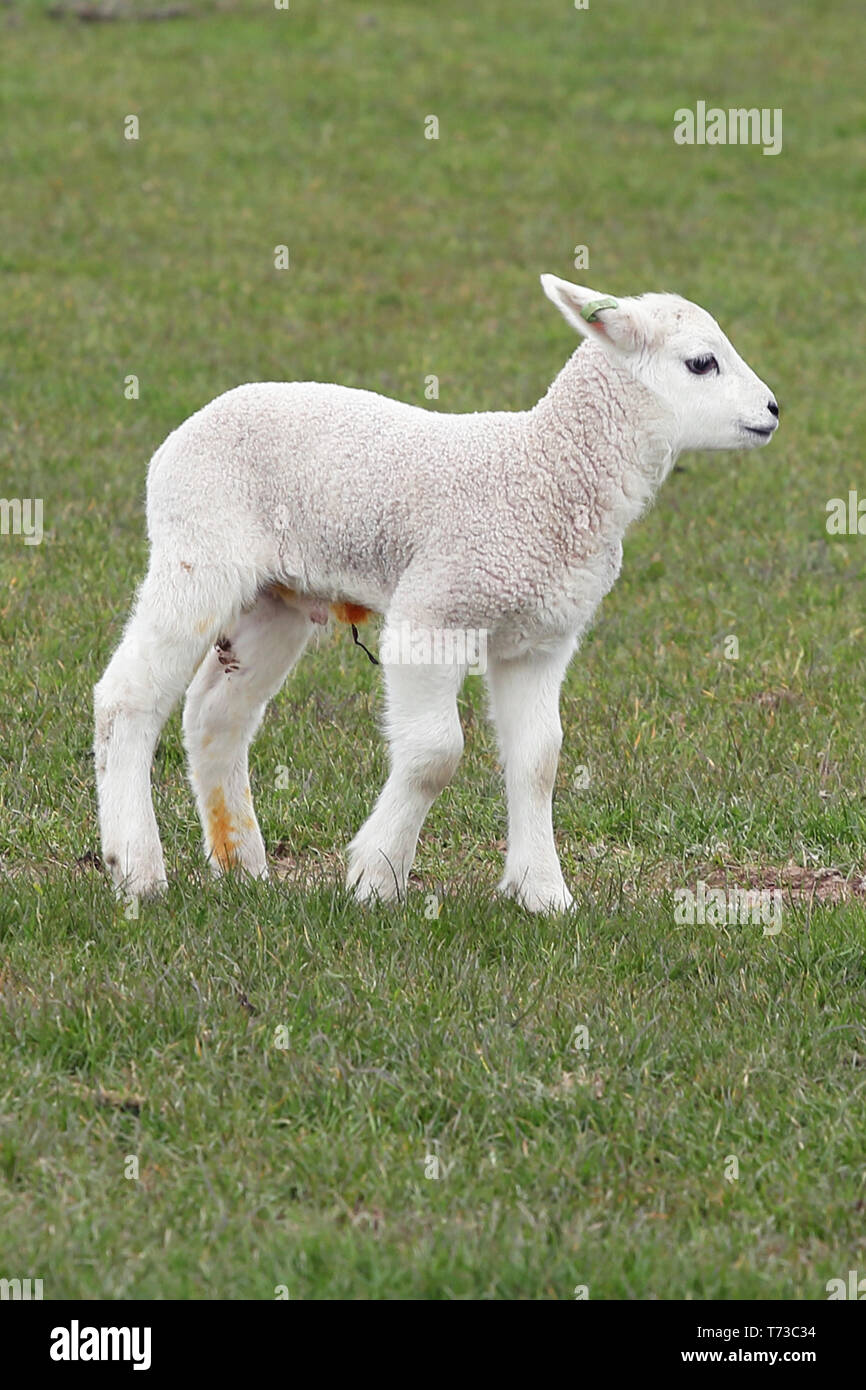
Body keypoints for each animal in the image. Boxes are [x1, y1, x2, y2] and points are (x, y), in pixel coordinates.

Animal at [93, 275, 779, 914]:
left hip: (277, 596)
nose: (773, 410)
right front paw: (376, 877)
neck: (548, 472)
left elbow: (539, 761)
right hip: (198, 549)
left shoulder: (538, 639)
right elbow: (435, 754)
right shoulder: (436, 609)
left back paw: (244, 867)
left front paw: (544, 893)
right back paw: (137, 869)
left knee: (218, 713)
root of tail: (179, 437)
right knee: (127, 696)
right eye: (701, 362)